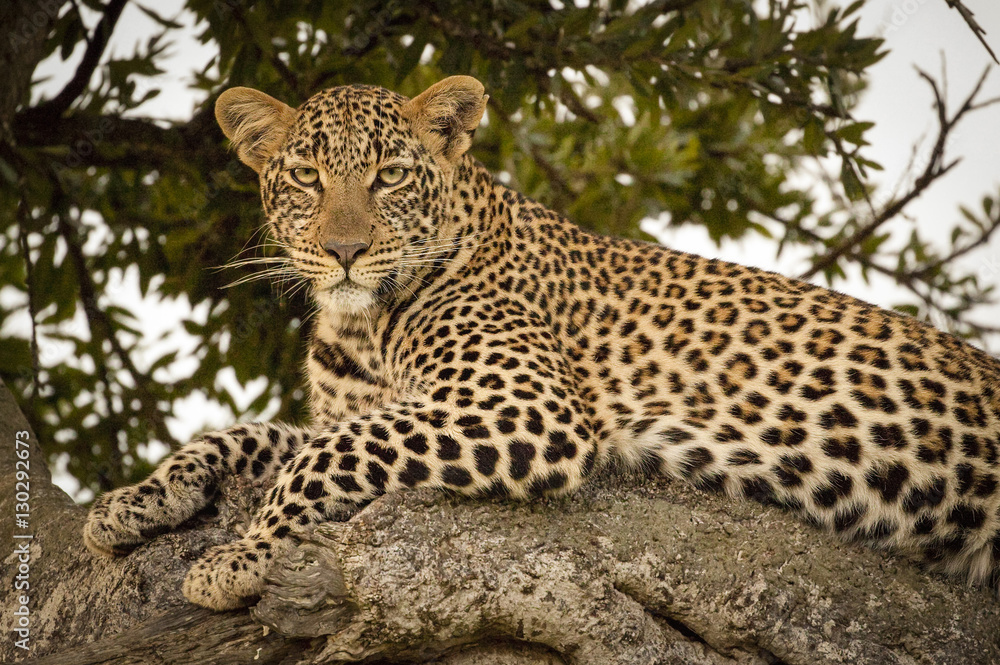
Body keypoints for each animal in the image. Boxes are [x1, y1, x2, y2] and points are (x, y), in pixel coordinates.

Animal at [84, 75, 1000, 611]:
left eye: (389, 176)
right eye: (307, 176)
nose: (344, 250)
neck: (362, 323)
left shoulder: (525, 405)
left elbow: (324, 454)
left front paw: (238, 556)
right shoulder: (368, 404)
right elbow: (245, 434)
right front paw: (133, 501)